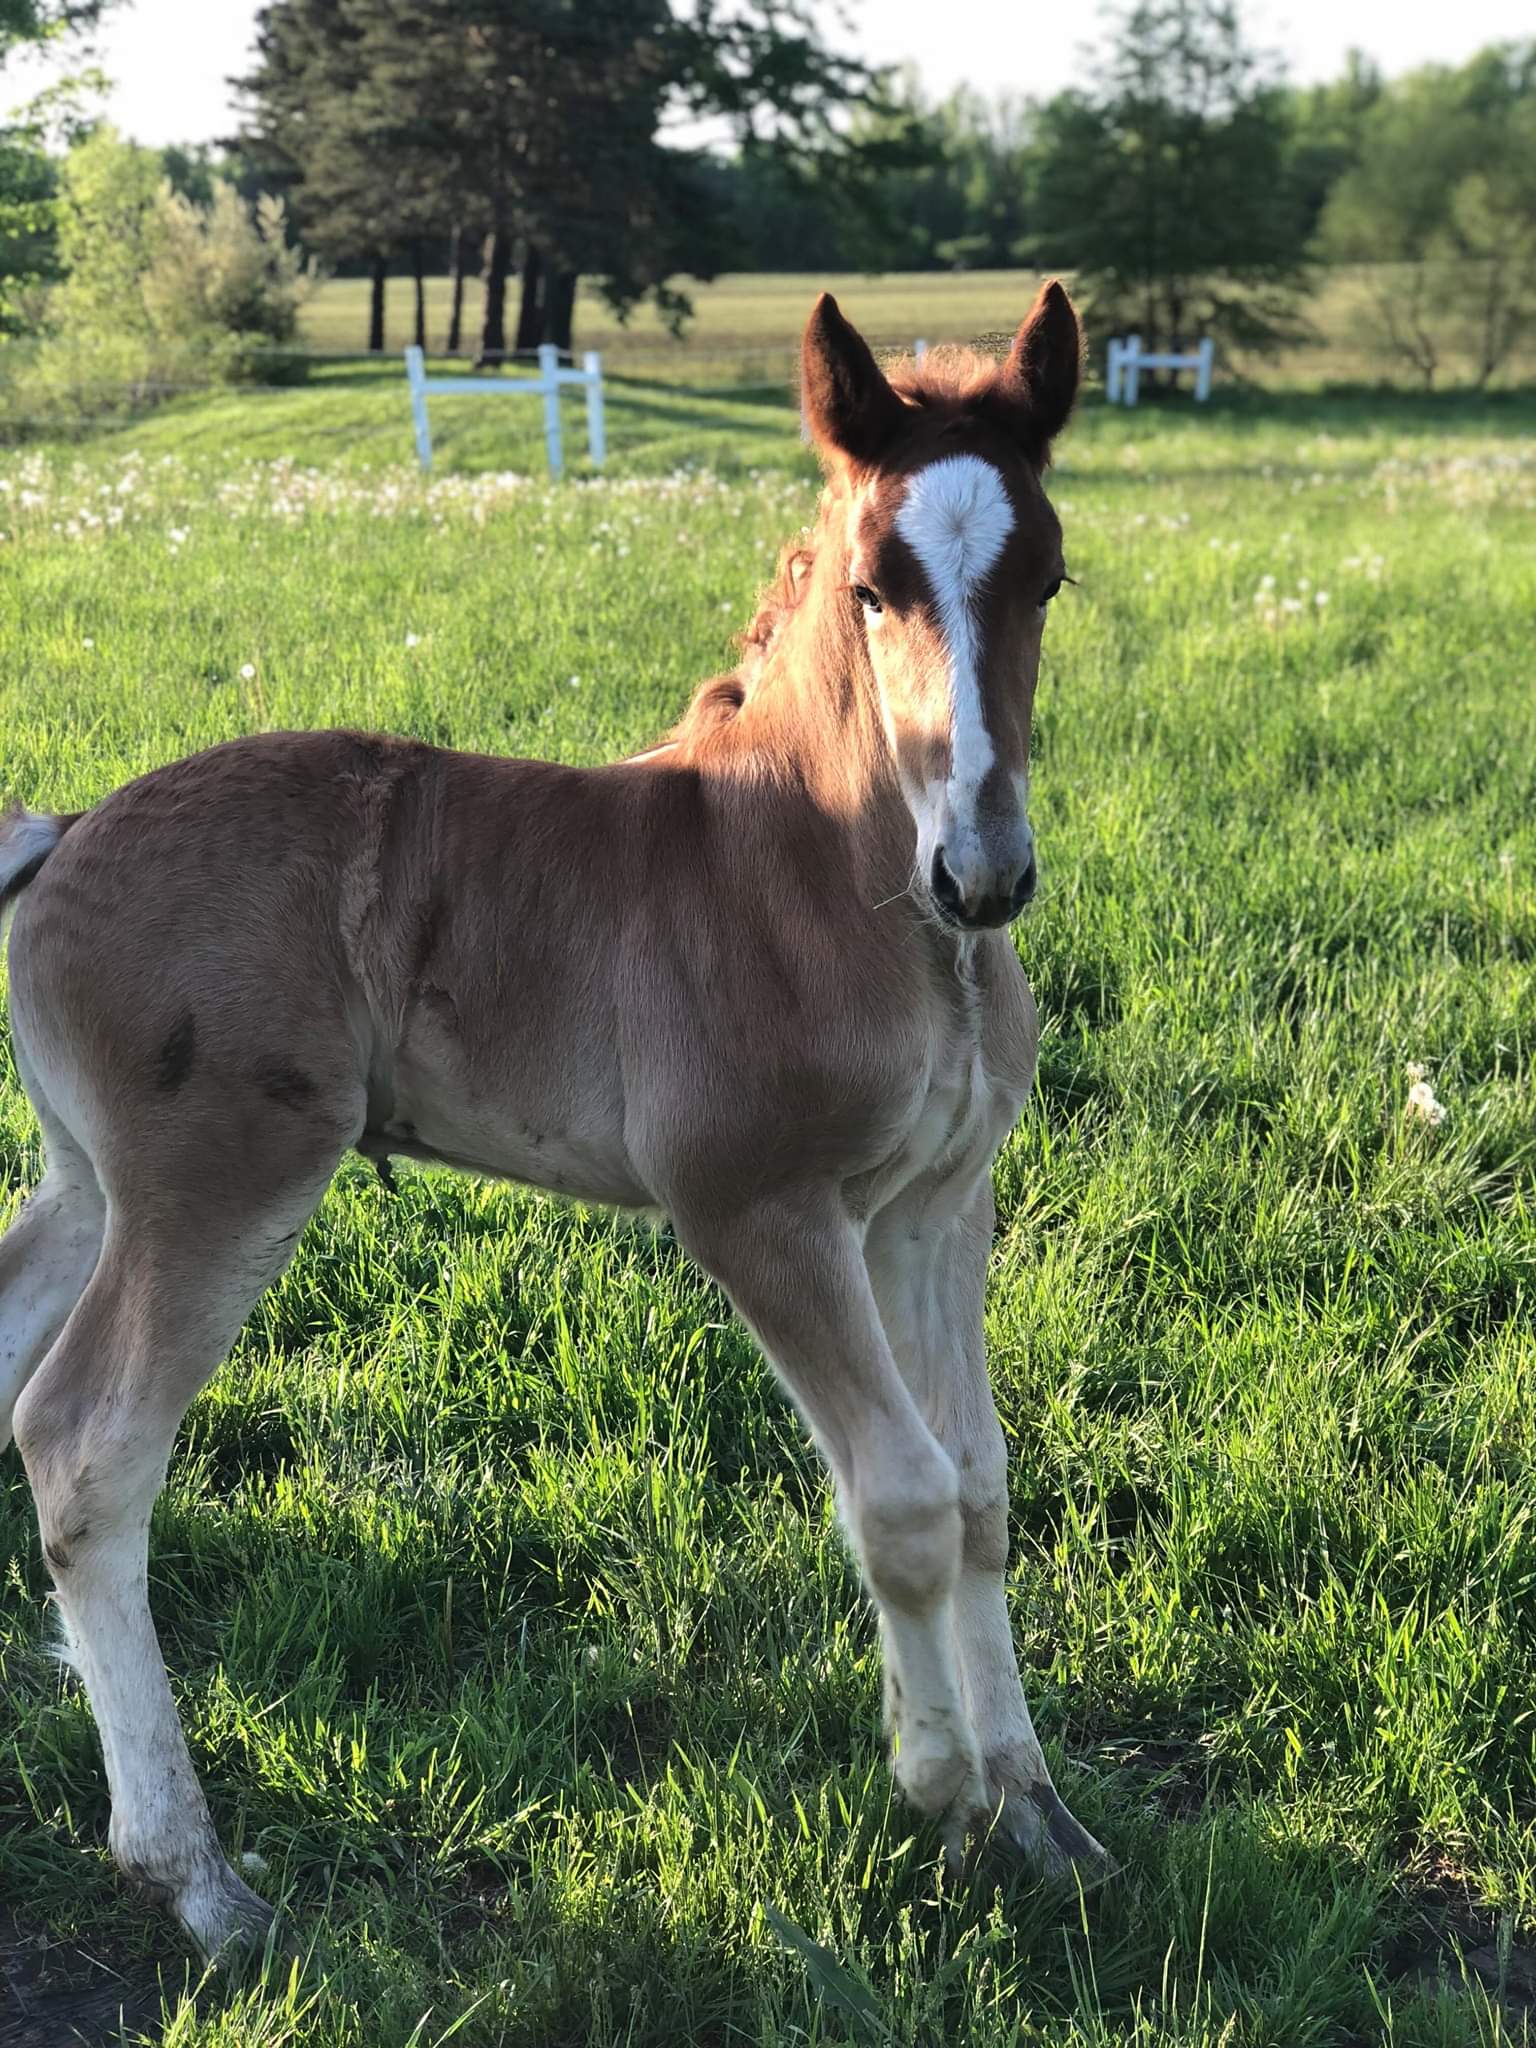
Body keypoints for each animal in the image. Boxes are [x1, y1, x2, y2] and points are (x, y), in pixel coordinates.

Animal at [0, 281, 1108, 1955]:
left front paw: (1034, 1809)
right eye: (875, 586)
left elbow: (978, 1489)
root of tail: (62, 836)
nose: (984, 873)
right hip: (219, 1180)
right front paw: (939, 1792)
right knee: (83, 1448)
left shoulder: (933, 1208)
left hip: (90, 1183)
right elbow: (903, 1494)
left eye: (1047, 575)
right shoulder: (760, 1211)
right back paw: (196, 1878)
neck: (828, 883)